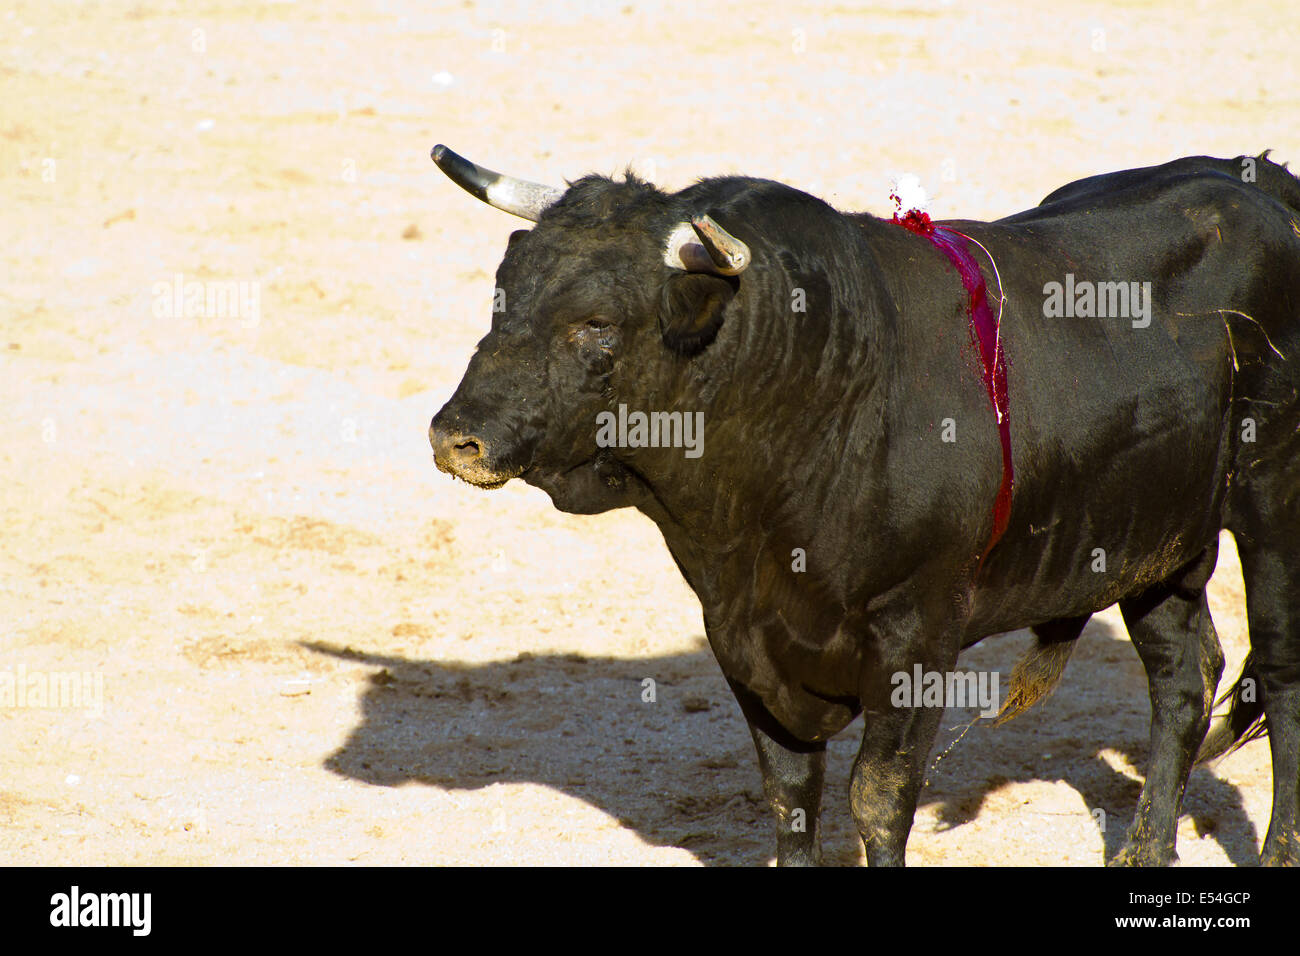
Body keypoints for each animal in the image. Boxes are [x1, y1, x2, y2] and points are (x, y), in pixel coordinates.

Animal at [426, 143, 1300, 866]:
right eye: (502, 293)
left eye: (597, 324)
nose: (456, 437)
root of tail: (1259, 180)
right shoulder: (743, 639)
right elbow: (791, 798)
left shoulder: (918, 636)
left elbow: (878, 801)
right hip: (1159, 544)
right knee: (1183, 681)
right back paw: (1144, 854)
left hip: (1272, 509)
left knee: (1281, 672)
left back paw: (1276, 853)